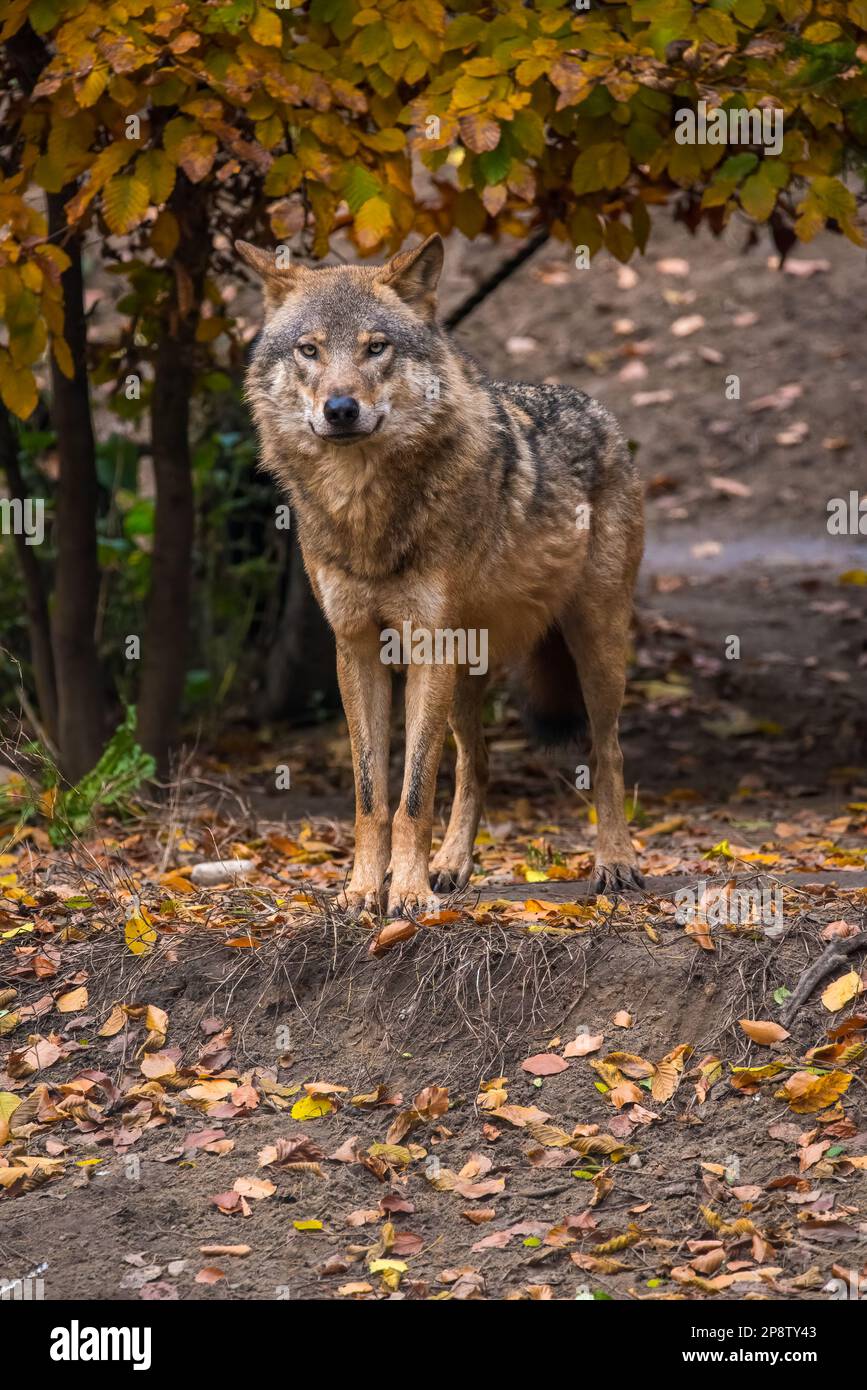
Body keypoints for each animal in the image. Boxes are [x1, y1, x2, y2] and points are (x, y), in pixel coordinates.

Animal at [238, 233, 644, 917]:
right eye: (309, 350)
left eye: (376, 346)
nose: (340, 408)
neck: (366, 511)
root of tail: (600, 412)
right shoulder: (357, 646)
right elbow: (373, 797)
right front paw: (362, 892)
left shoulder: (426, 644)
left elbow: (413, 795)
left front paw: (406, 895)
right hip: (463, 673)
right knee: (477, 766)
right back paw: (451, 867)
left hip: (595, 646)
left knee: (608, 751)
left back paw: (615, 864)